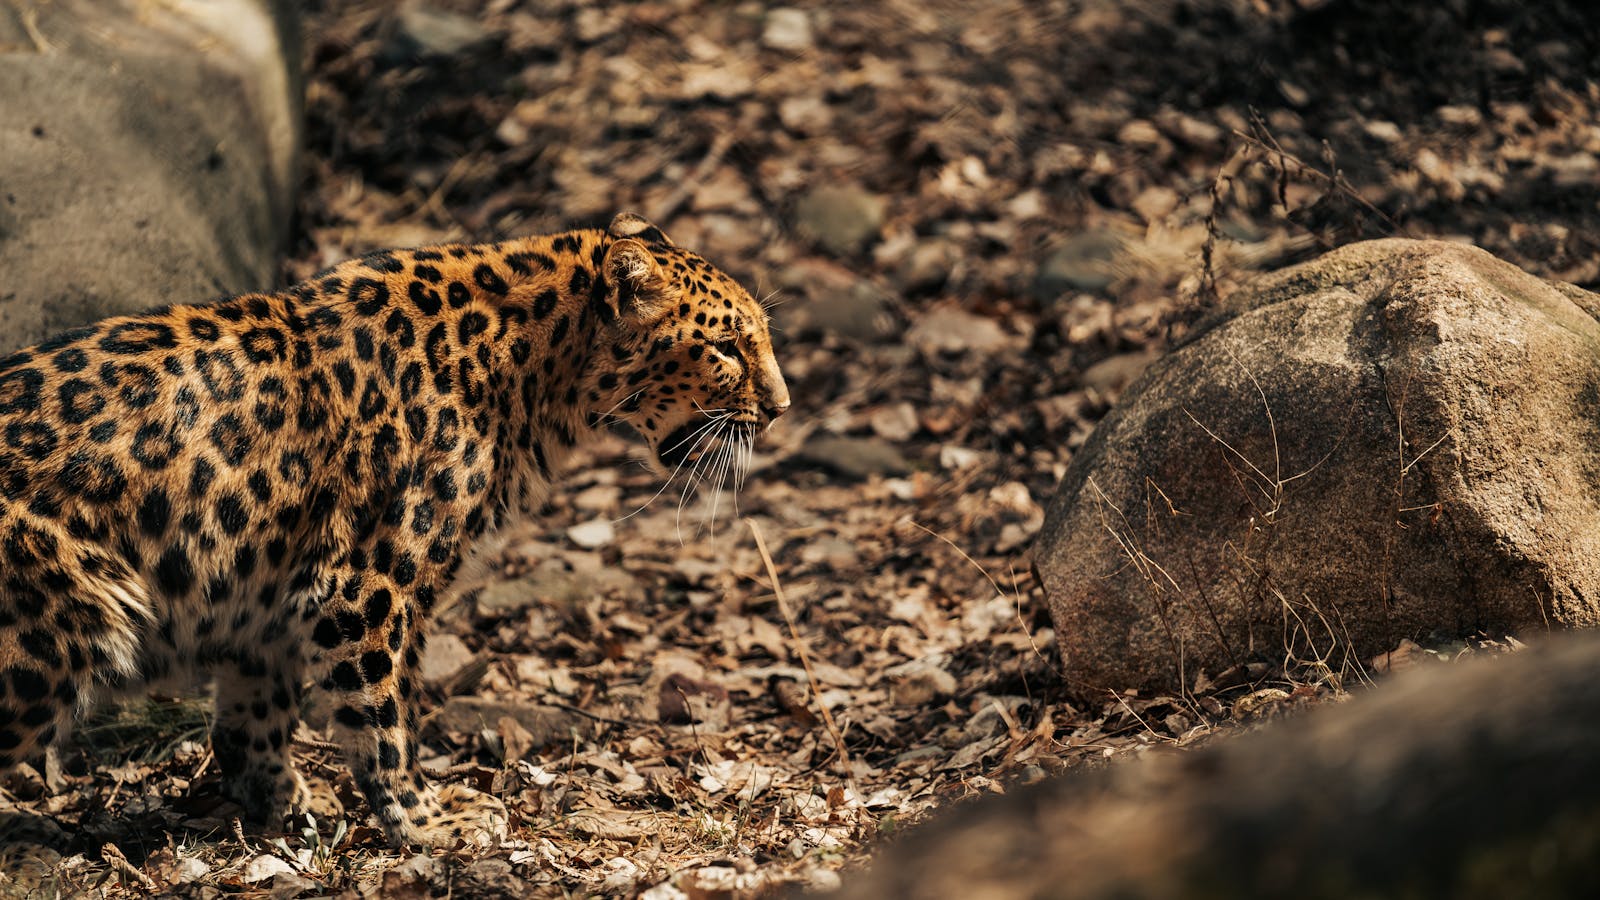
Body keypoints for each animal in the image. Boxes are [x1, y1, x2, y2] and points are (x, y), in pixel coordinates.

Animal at [0, 212, 789, 847]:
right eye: (727, 347)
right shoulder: (364, 588)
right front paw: (425, 820)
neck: (539, 367)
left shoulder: (272, 591)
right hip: (51, 638)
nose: (782, 406)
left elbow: (256, 713)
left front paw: (280, 802)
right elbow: (385, 718)